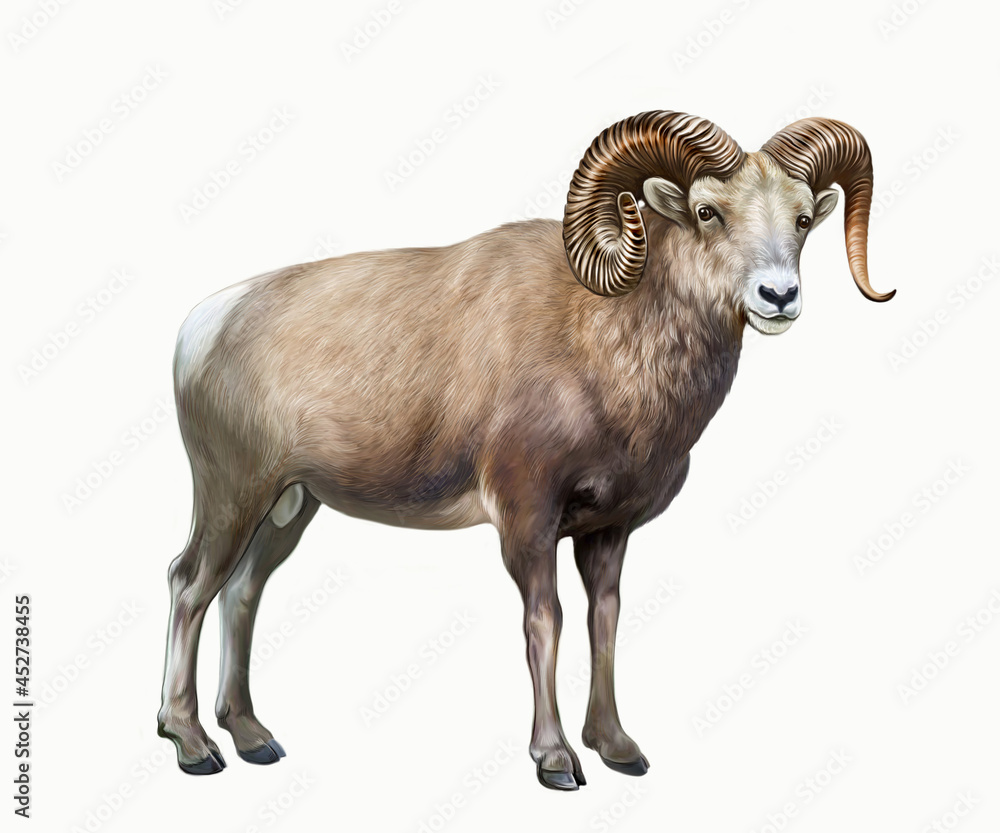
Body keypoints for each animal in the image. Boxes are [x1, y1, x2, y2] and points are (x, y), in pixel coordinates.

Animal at [157, 110, 894, 789]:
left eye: (803, 219)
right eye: (708, 211)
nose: (779, 296)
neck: (604, 347)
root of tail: (204, 326)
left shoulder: (607, 531)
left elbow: (604, 620)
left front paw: (618, 748)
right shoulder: (527, 518)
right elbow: (547, 622)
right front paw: (557, 760)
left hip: (288, 507)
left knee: (241, 591)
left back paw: (254, 738)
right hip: (233, 495)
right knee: (190, 584)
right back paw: (193, 746)